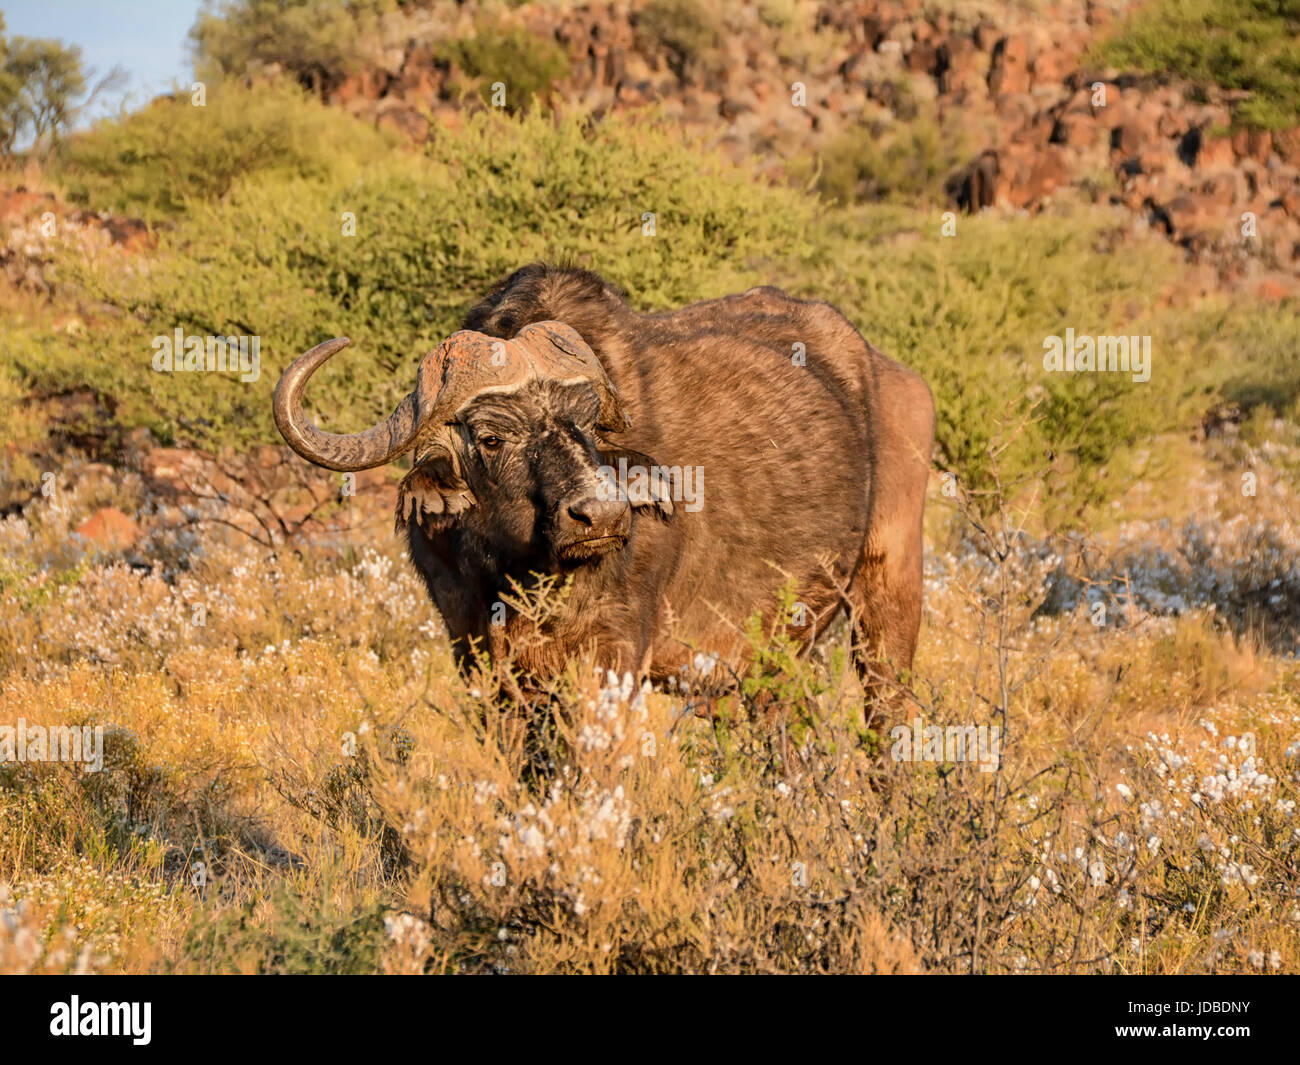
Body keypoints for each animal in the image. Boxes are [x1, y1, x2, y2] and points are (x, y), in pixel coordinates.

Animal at [273, 264, 934, 715]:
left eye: (588, 426)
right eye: (490, 436)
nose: (603, 516)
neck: (517, 579)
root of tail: (891, 373)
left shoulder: (610, 659)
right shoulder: (478, 660)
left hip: (889, 595)